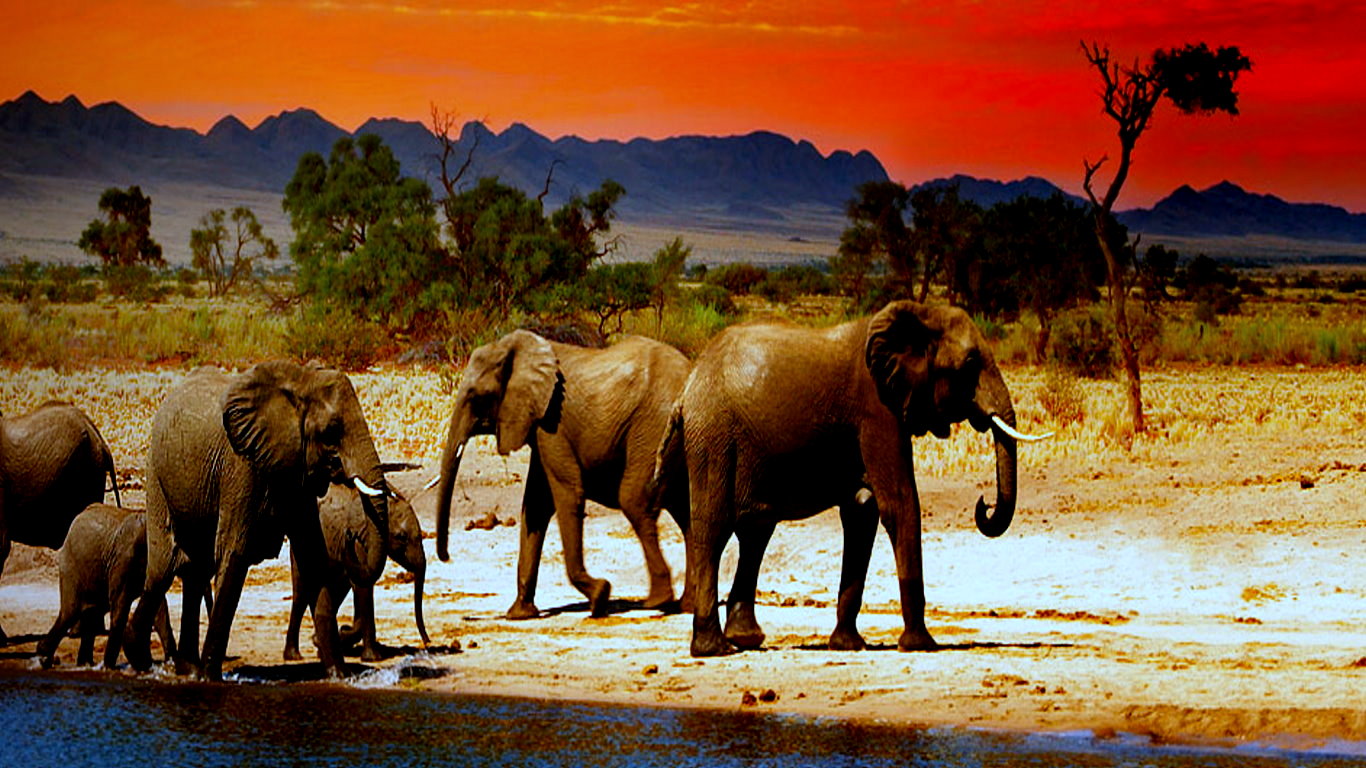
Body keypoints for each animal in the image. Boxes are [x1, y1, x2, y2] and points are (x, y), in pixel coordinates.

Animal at [36, 504, 175, 669]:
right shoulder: (124, 559)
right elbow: (120, 605)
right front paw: (109, 667)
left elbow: (160, 609)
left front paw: (171, 662)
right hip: (70, 567)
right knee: (70, 612)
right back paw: (44, 657)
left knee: (91, 613)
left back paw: (84, 663)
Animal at [127, 361, 389, 681]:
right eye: (331, 432)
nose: (351, 538)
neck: (299, 382)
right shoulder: (241, 467)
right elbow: (234, 554)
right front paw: (210, 679)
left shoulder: (297, 474)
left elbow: (312, 557)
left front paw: (339, 675)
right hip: (156, 475)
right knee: (163, 570)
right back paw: (145, 660)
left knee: (195, 571)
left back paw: (185, 668)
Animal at [284, 476, 429, 662]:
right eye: (401, 537)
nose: (428, 642)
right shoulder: (360, 543)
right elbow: (363, 589)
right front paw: (372, 658)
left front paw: (339, 636)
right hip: (300, 546)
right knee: (301, 593)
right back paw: (294, 655)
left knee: (334, 591)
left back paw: (321, 647)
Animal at [434, 331, 691, 619]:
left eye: (477, 396)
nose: (446, 557)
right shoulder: (540, 424)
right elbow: (535, 505)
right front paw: (520, 614)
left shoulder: (552, 422)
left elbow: (568, 493)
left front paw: (600, 596)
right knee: (687, 511)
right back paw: (687, 604)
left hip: (653, 428)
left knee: (635, 502)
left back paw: (658, 602)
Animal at [666, 300, 1049, 657]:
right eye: (969, 364)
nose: (984, 504)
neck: (917, 316)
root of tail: (687, 387)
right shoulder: (877, 408)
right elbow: (899, 502)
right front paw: (921, 645)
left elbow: (863, 509)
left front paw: (848, 645)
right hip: (714, 435)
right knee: (714, 529)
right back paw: (713, 648)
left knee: (756, 530)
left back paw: (745, 639)